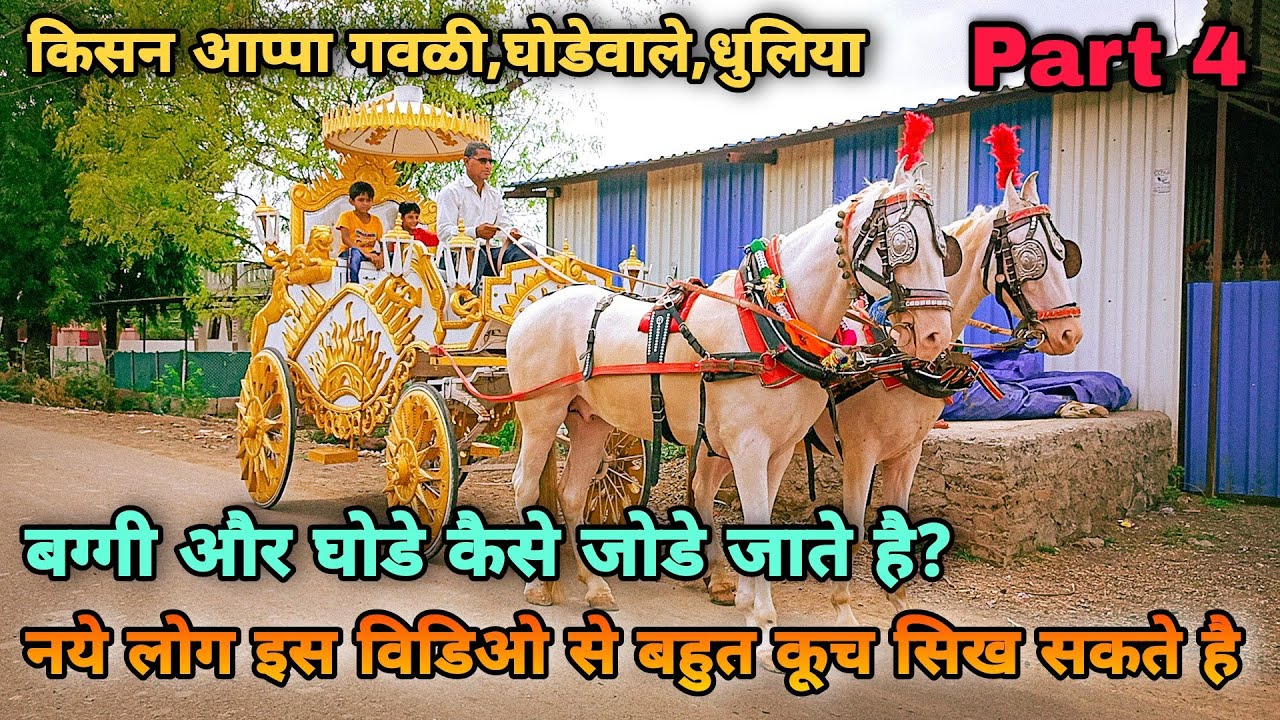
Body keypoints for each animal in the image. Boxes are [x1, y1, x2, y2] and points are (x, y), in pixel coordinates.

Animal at [505, 154, 957, 633]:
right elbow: (754, 515)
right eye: (904, 242)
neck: (772, 321)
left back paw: (595, 587)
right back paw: (537, 585)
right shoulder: (749, 447)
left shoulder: (780, 449)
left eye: (943, 249)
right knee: (525, 484)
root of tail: (533, 308)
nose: (935, 335)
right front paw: (761, 613)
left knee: (573, 495)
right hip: (541, 415)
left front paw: (746, 600)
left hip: (590, 422)